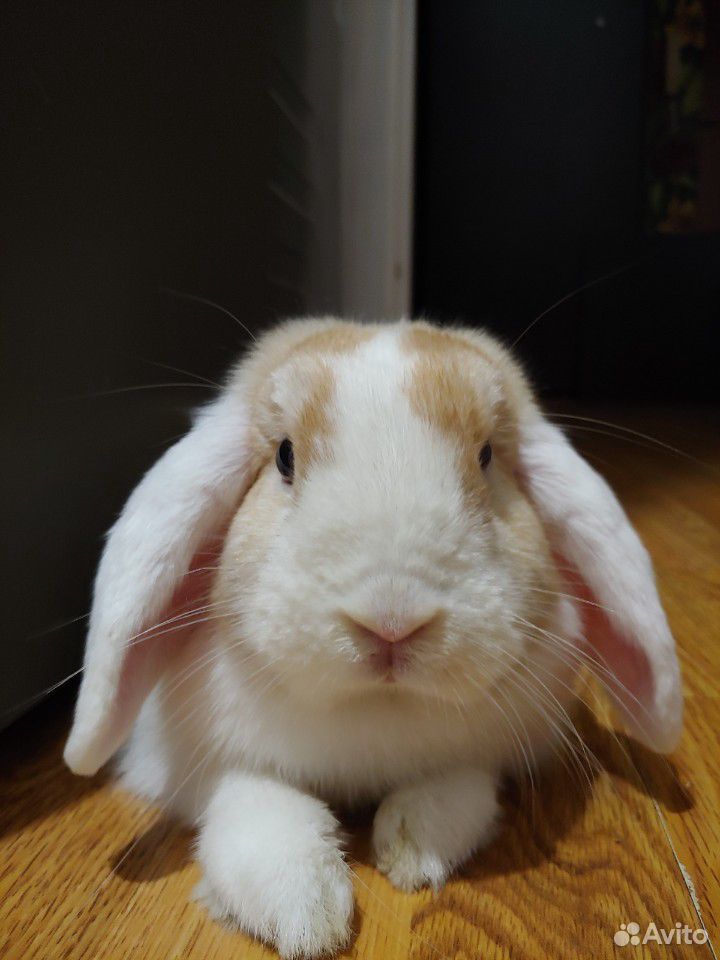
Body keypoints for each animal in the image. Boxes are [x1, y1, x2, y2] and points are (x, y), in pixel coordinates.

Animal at [64, 318, 682, 958]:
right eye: (284, 456)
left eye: (487, 455)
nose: (392, 620)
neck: (375, 710)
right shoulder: (199, 765)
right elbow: (252, 807)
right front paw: (302, 910)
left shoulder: (488, 753)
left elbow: (458, 789)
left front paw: (410, 848)